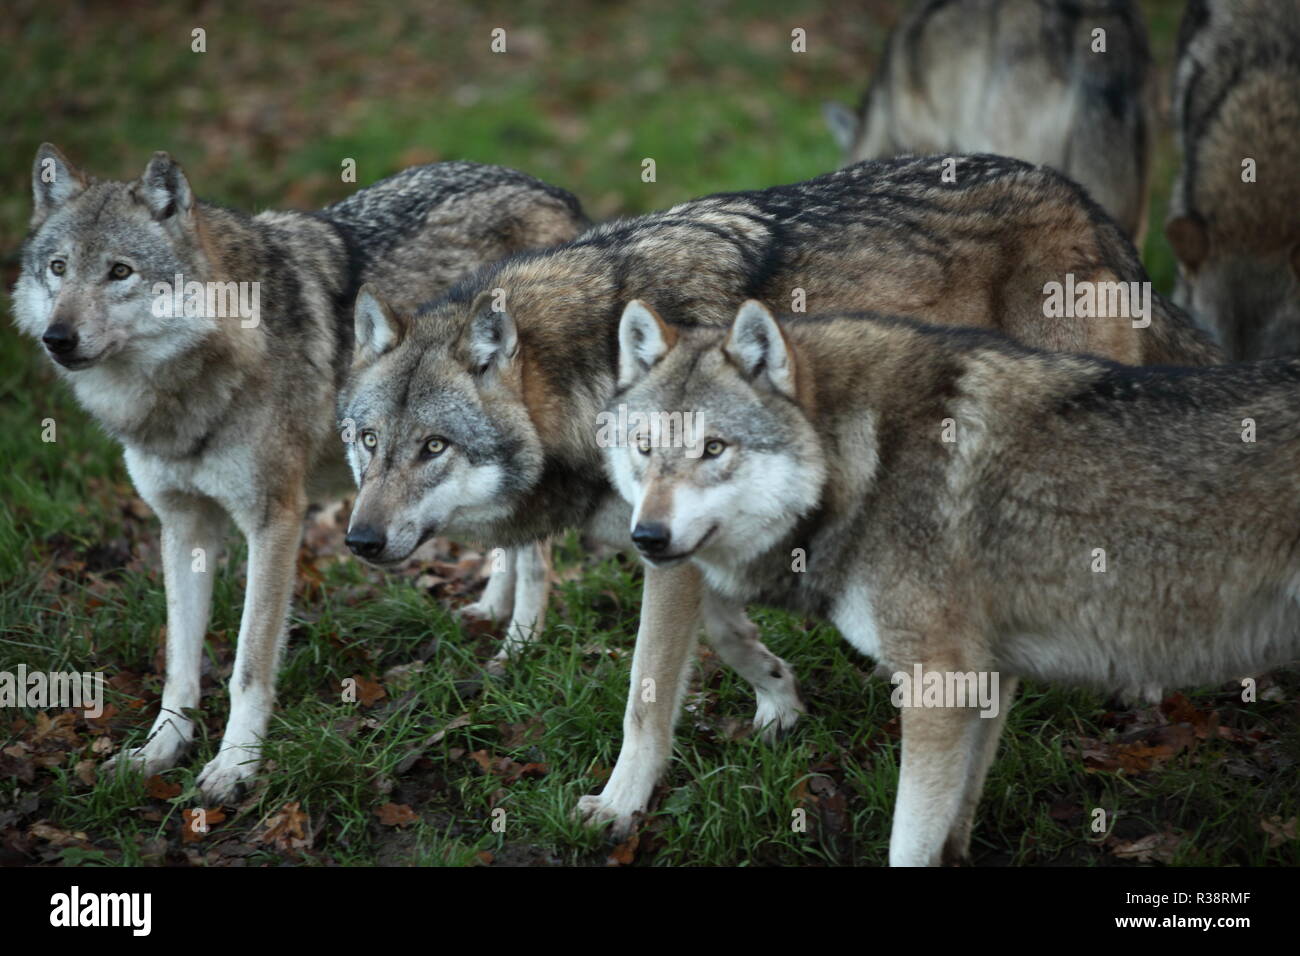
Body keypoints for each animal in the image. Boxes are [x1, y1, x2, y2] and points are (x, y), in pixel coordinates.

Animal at [11, 144, 587, 801]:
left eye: (120, 271)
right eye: (58, 268)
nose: (58, 337)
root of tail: (553, 190)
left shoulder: (275, 522)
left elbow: (248, 664)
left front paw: (234, 768)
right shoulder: (183, 526)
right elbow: (179, 665)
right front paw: (160, 750)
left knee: (538, 561)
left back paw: (517, 650)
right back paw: (490, 608)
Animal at [338, 152, 1219, 833]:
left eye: (434, 448)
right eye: (369, 442)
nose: (358, 541)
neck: (586, 372)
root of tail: (1086, 204)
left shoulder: (670, 550)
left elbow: (645, 694)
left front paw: (620, 805)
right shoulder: (689, 541)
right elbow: (729, 635)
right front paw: (779, 701)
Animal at [608, 298, 1300, 865]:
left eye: (714, 448)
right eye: (644, 447)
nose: (647, 537)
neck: (865, 459)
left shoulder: (938, 686)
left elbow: (907, 842)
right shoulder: (985, 679)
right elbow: (952, 826)